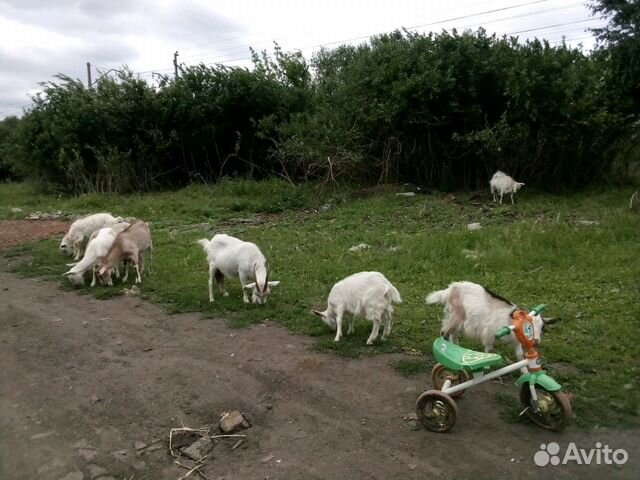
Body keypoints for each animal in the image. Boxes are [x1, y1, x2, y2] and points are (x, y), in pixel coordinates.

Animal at [426, 281, 560, 361]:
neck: (510, 320)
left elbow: (520, 356)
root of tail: (450, 290)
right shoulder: (489, 335)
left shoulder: (516, 342)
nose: (536, 341)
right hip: (456, 316)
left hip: (457, 318)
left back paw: (456, 348)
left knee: (453, 334)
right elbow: (489, 351)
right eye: (528, 326)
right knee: (445, 332)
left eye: (542, 327)